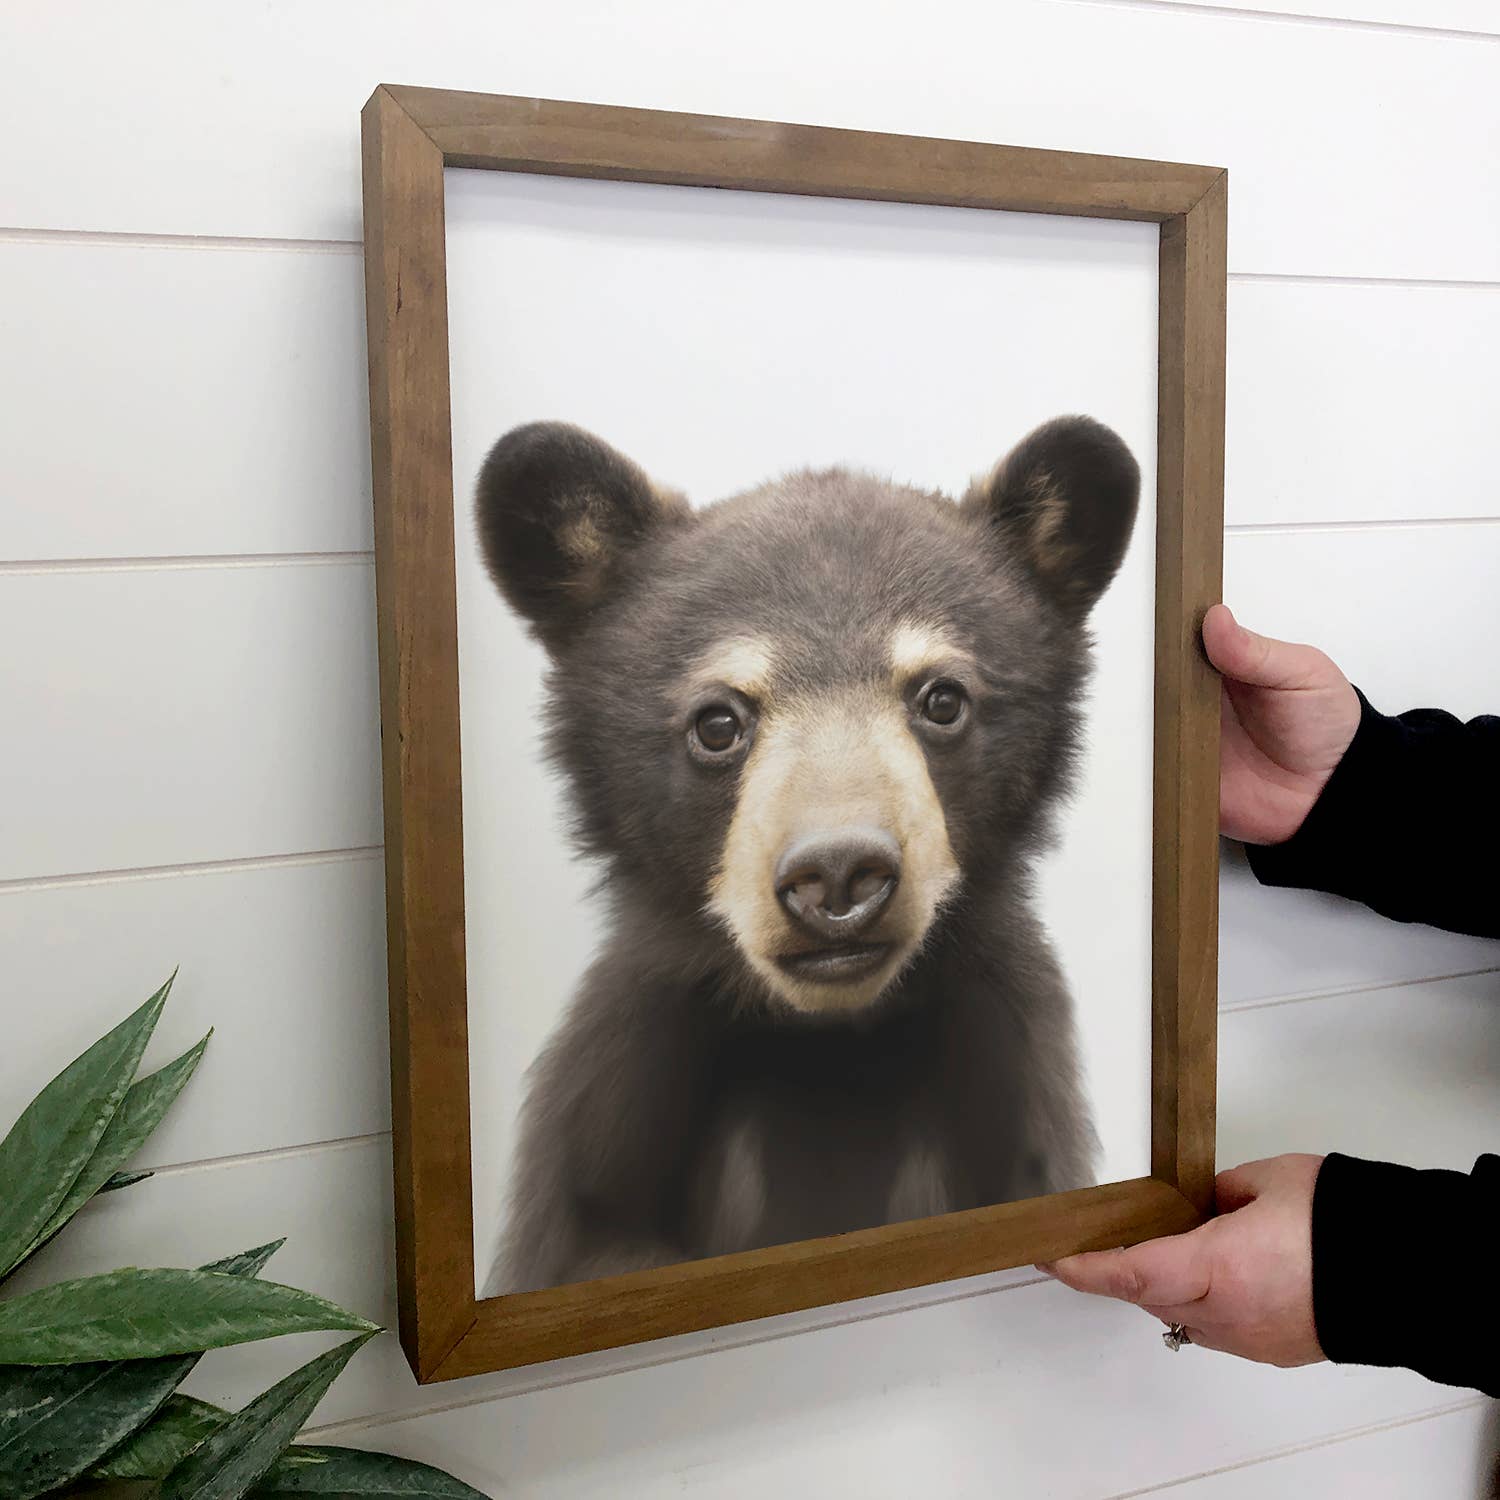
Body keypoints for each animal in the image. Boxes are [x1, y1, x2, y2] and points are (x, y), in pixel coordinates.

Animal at [474, 415, 1140, 1295]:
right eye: (718, 720)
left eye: (942, 698)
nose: (838, 875)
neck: (832, 1047)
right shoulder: (619, 1123)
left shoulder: (1011, 1086)